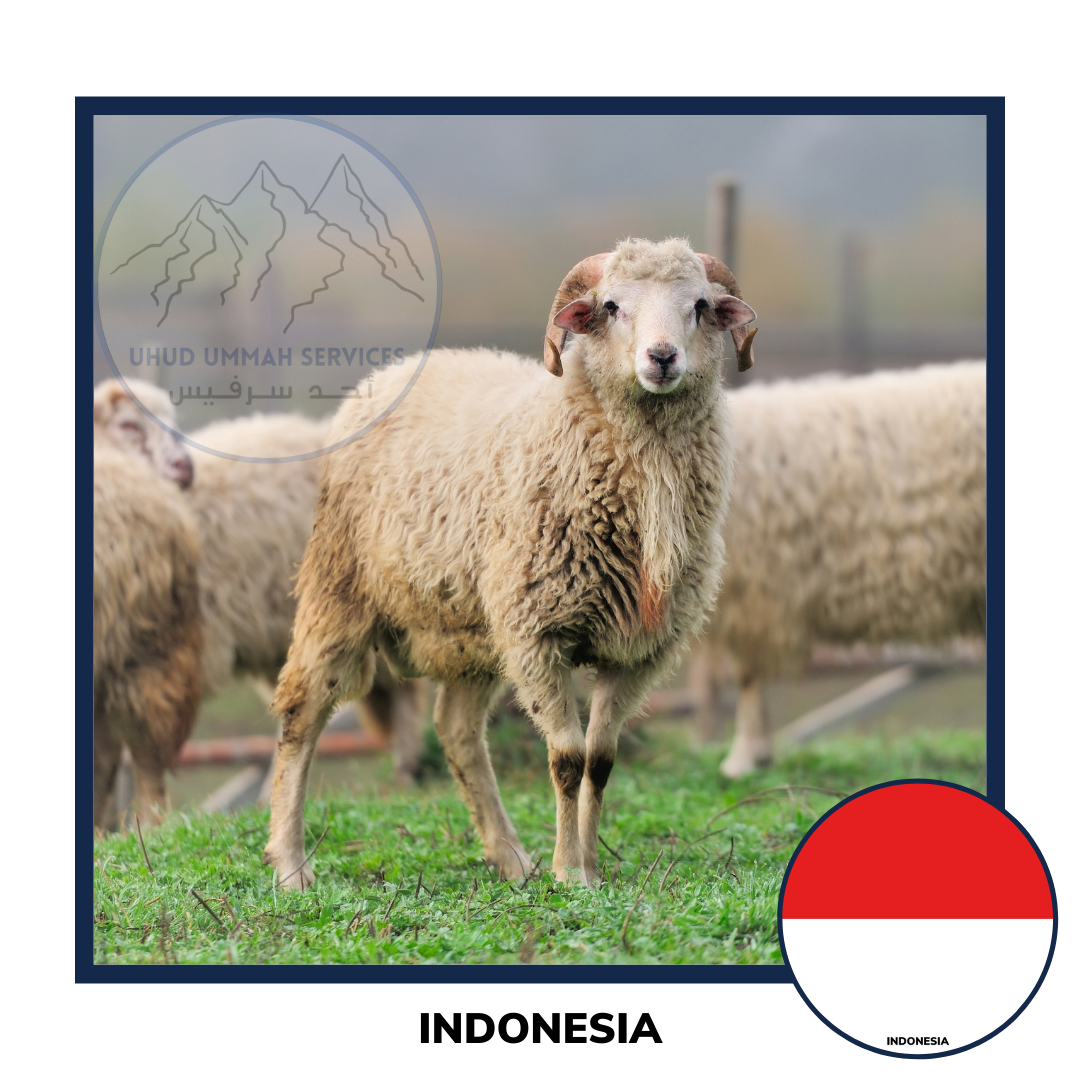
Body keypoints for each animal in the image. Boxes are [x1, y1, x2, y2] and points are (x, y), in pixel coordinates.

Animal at [264, 237, 758, 889]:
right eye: (611, 305)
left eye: (700, 305)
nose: (661, 358)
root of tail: (390, 370)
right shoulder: (538, 632)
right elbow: (568, 759)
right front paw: (569, 873)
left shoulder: (639, 649)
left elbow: (602, 759)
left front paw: (590, 865)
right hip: (338, 588)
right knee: (302, 711)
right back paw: (289, 865)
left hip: (474, 627)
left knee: (456, 730)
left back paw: (510, 857)